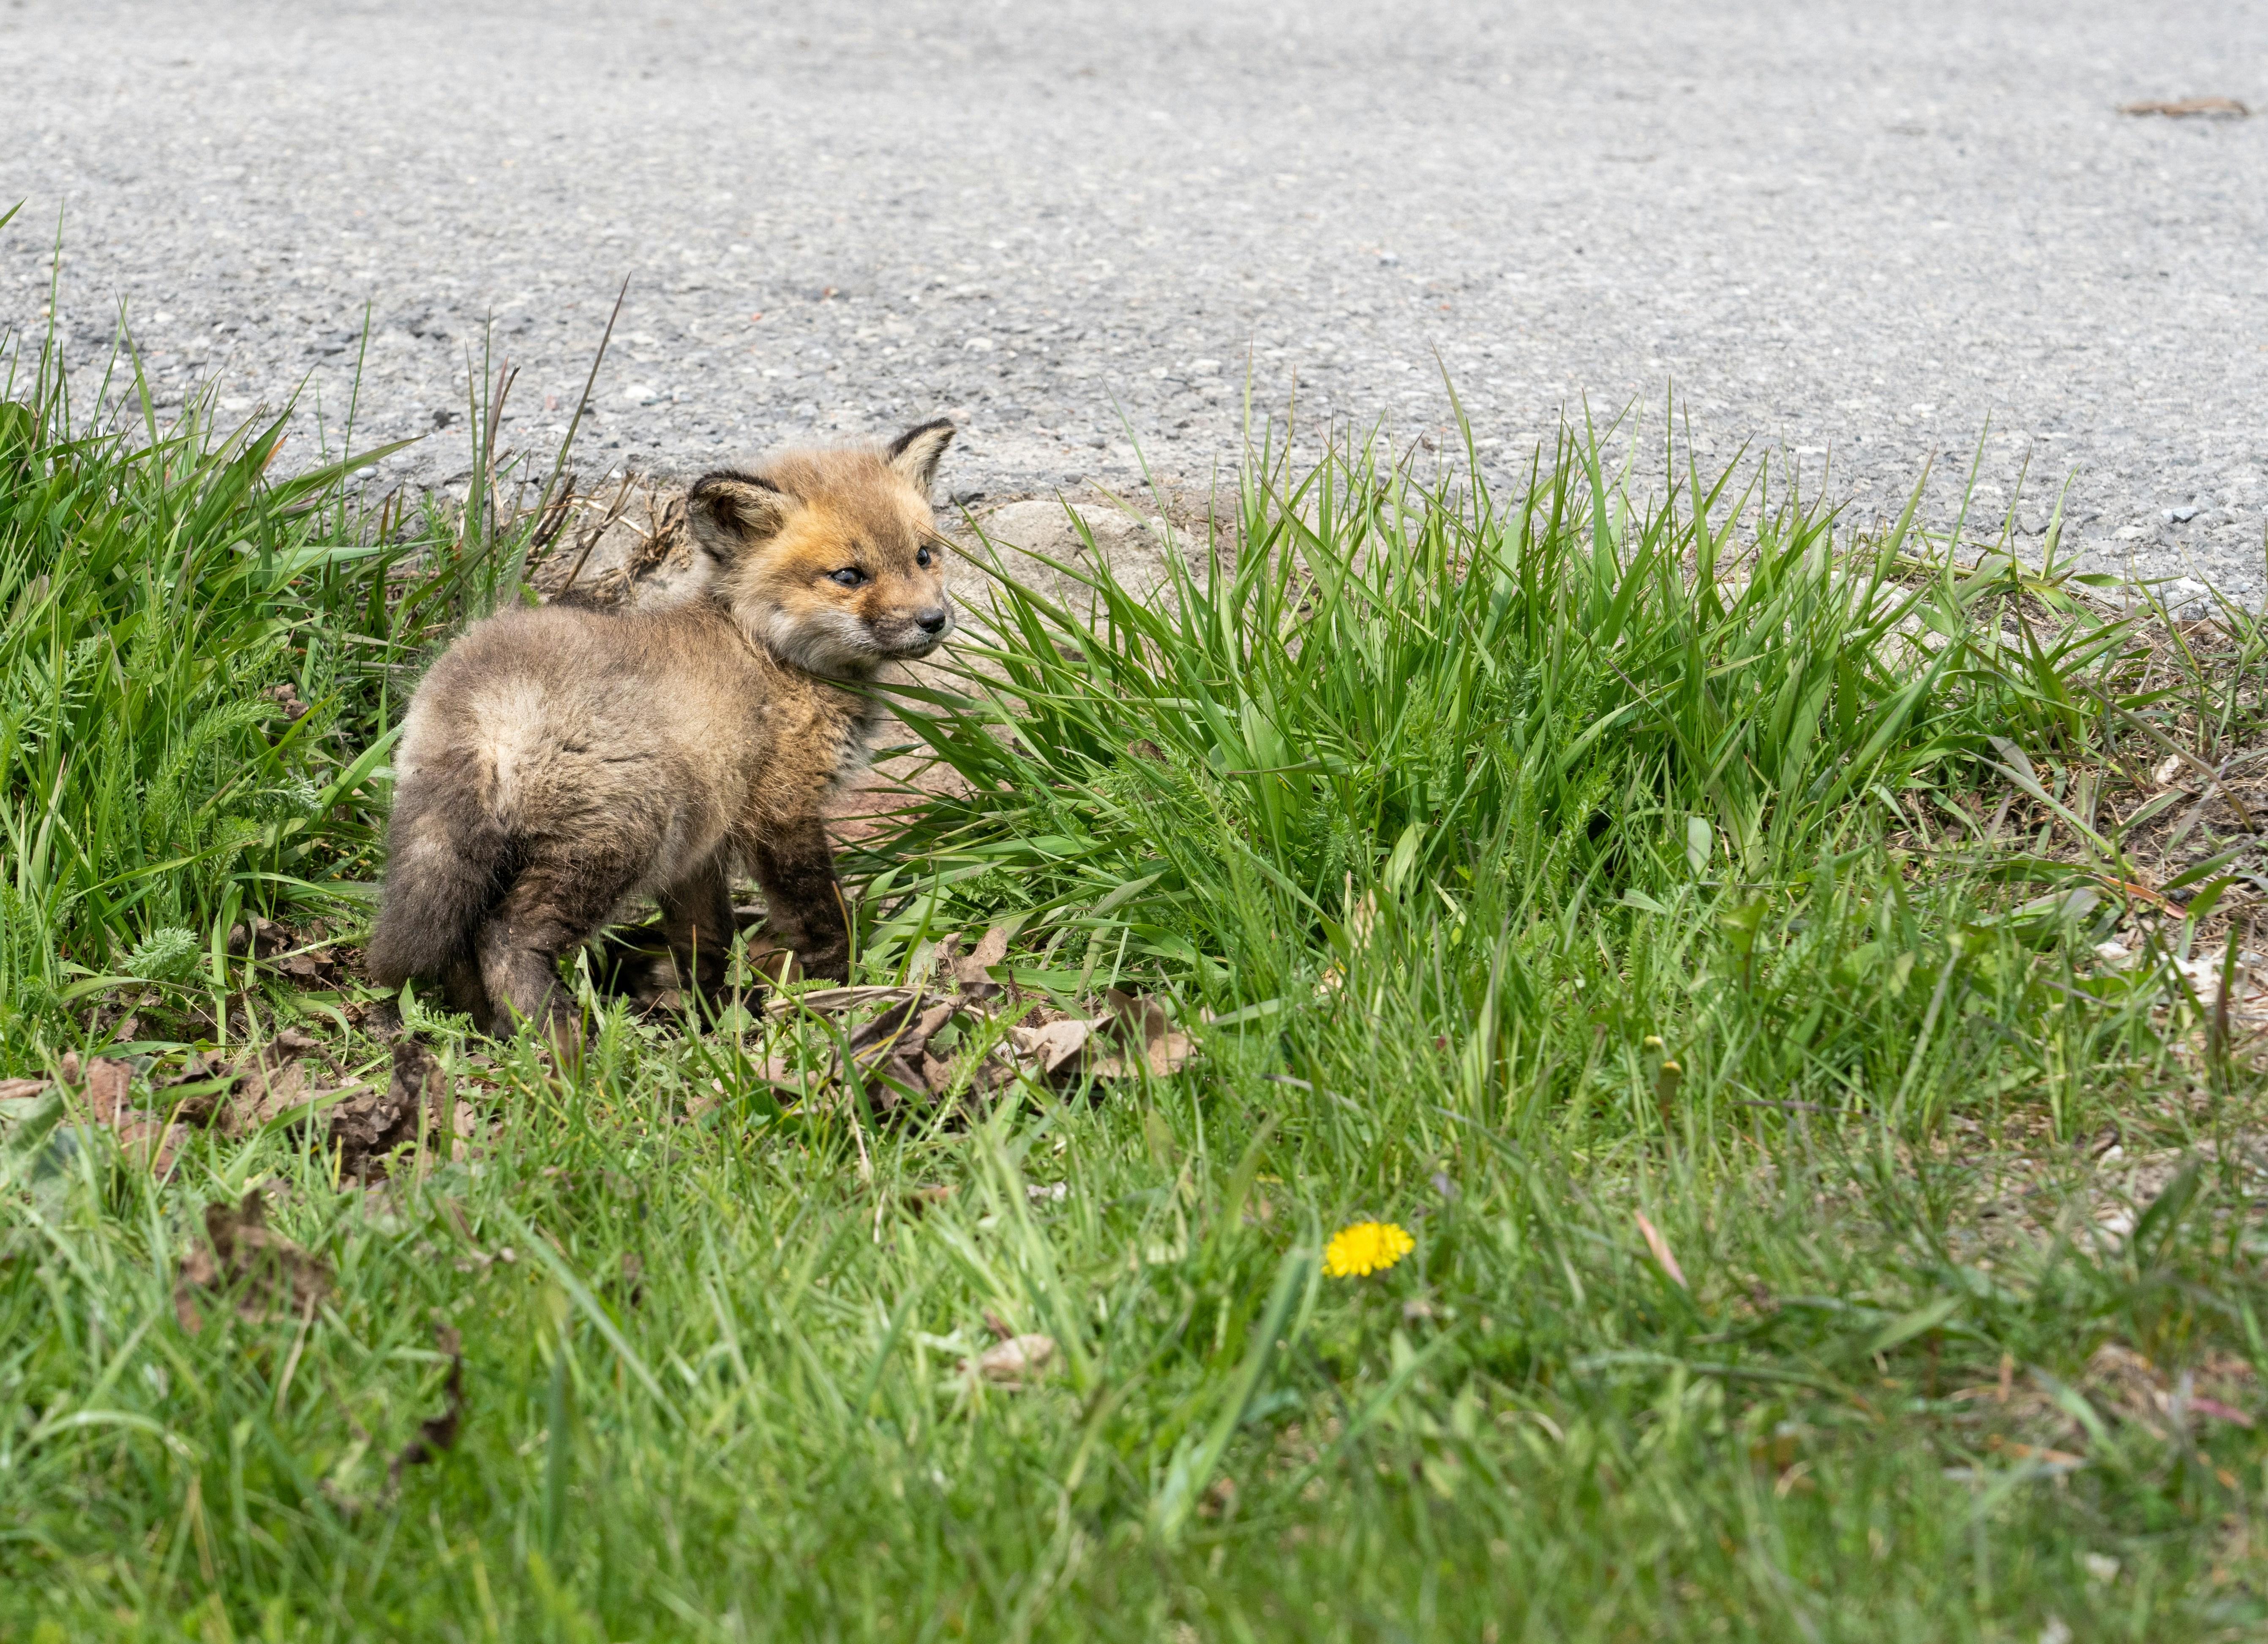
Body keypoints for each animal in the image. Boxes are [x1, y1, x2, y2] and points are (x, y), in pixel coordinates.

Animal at [362, 419, 957, 1044]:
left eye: (923, 556)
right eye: (848, 576)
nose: (934, 621)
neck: (767, 651)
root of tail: (474, 689)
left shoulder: (699, 849)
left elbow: (708, 940)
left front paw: (712, 1016)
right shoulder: (782, 812)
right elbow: (822, 915)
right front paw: (835, 990)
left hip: (484, 848)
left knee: (458, 941)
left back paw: (490, 1031)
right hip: (618, 838)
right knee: (506, 936)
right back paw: (562, 1045)